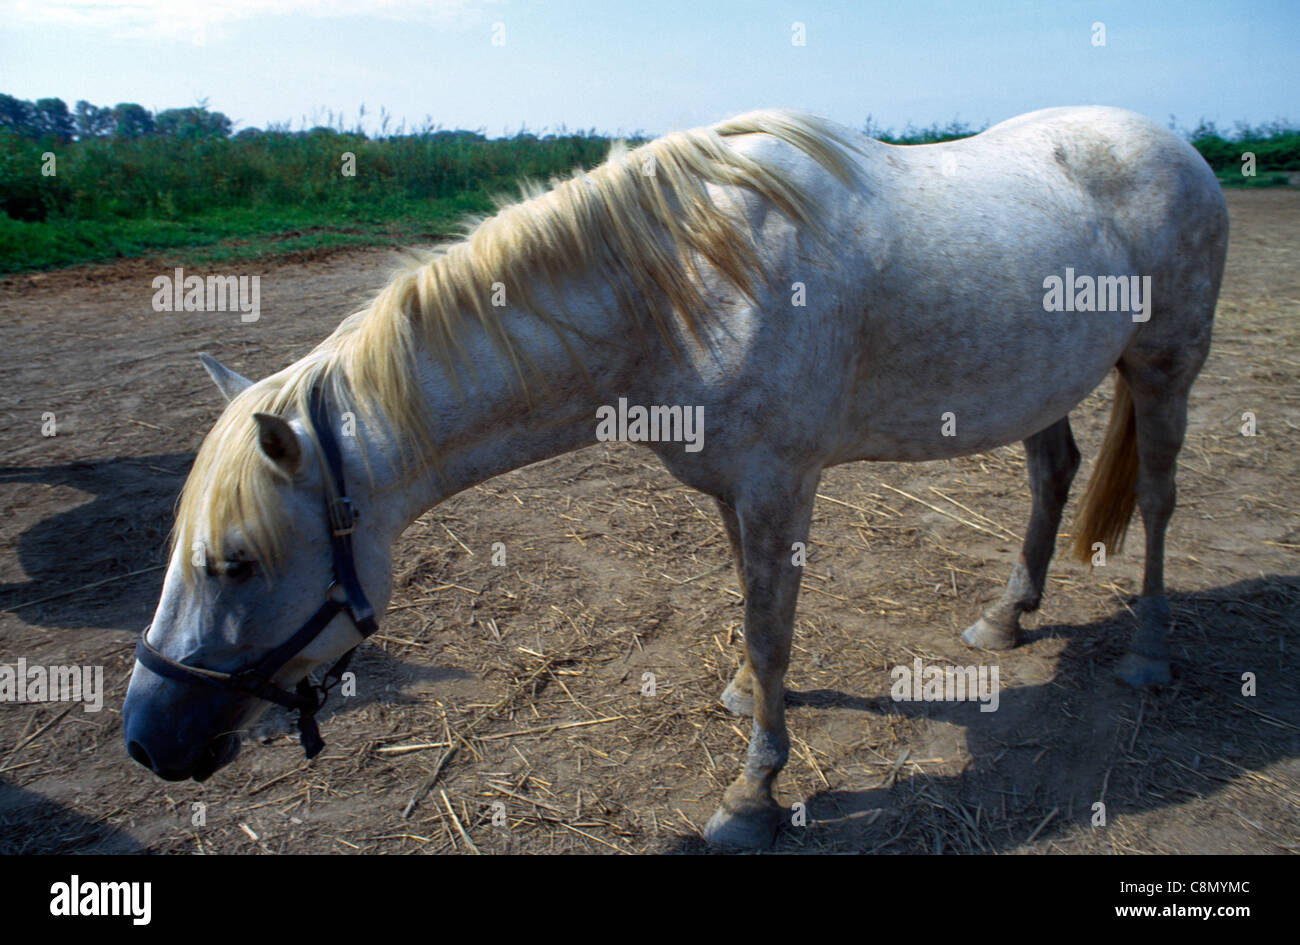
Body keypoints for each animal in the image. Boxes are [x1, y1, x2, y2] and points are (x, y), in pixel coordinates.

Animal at [122, 106, 1228, 849]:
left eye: (234, 564)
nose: (145, 739)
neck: (683, 287)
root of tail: (1172, 145)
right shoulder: (737, 491)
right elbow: (752, 616)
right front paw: (744, 702)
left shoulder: (780, 484)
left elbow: (773, 629)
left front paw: (751, 800)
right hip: (1044, 382)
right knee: (1053, 475)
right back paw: (1007, 617)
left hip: (1164, 365)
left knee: (1159, 499)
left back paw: (1150, 651)